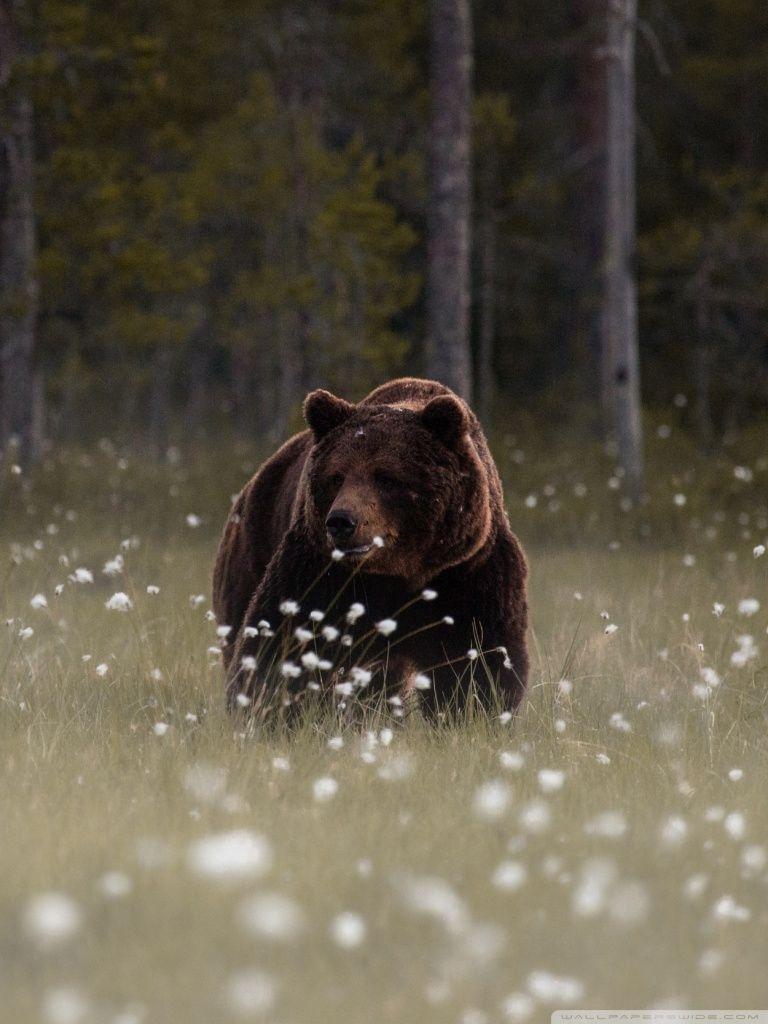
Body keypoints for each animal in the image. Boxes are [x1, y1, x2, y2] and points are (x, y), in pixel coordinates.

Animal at [212, 377, 529, 719]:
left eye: (387, 477)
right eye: (337, 476)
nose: (341, 521)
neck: (399, 574)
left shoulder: (467, 572)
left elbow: (478, 659)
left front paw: (472, 710)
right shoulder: (319, 572)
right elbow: (283, 640)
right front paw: (269, 709)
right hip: (250, 552)